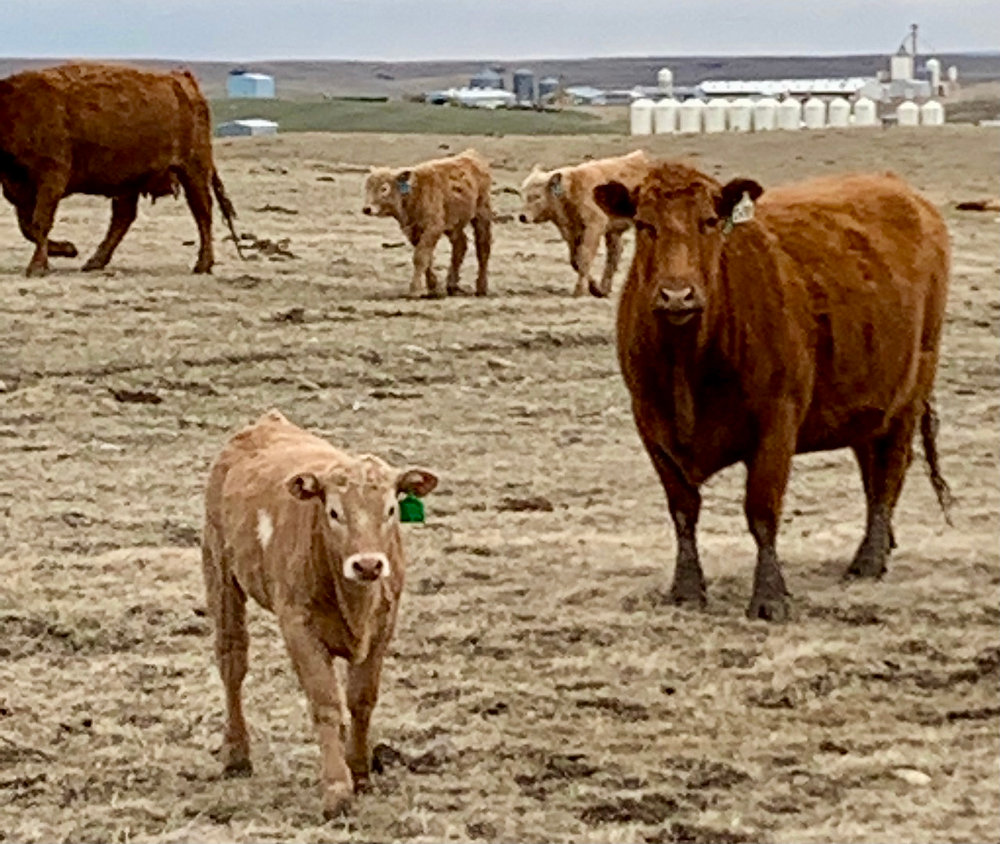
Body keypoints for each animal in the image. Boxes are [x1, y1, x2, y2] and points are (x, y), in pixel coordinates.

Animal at [0, 62, 241, 277]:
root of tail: (183, 79)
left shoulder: (51, 179)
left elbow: (39, 223)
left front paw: (37, 266)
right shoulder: (18, 187)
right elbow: (28, 227)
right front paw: (68, 249)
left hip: (193, 171)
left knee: (202, 212)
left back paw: (203, 264)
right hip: (129, 181)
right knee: (123, 218)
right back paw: (95, 261)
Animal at [201, 409, 438, 818]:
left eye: (391, 509)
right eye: (334, 512)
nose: (368, 565)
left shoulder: (384, 625)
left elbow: (361, 699)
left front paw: (360, 773)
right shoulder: (298, 625)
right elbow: (326, 703)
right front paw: (337, 790)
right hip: (220, 571)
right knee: (232, 661)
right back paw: (236, 755)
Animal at [362, 148, 491, 297]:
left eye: (384, 188)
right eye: (367, 187)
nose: (367, 209)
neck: (415, 193)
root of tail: (471, 155)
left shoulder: (433, 227)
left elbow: (420, 256)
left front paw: (415, 290)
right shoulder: (413, 231)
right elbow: (426, 257)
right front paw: (433, 288)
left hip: (482, 214)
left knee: (483, 247)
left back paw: (481, 287)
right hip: (453, 225)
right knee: (460, 245)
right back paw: (452, 286)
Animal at [519, 150, 652, 297]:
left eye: (537, 196)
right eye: (523, 194)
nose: (522, 216)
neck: (570, 190)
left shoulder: (594, 224)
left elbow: (584, 256)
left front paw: (579, 290)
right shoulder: (572, 233)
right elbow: (575, 260)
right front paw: (594, 288)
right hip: (613, 232)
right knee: (614, 254)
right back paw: (604, 289)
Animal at [594, 162, 951, 621]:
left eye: (709, 222)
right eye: (644, 224)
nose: (677, 295)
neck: (687, 363)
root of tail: (900, 189)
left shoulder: (776, 423)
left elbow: (762, 510)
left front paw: (768, 597)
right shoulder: (651, 425)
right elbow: (683, 511)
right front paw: (687, 589)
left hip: (909, 394)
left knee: (890, 471)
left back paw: (868, 560)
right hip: (867, 406)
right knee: (872, 473)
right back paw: (882, 545)